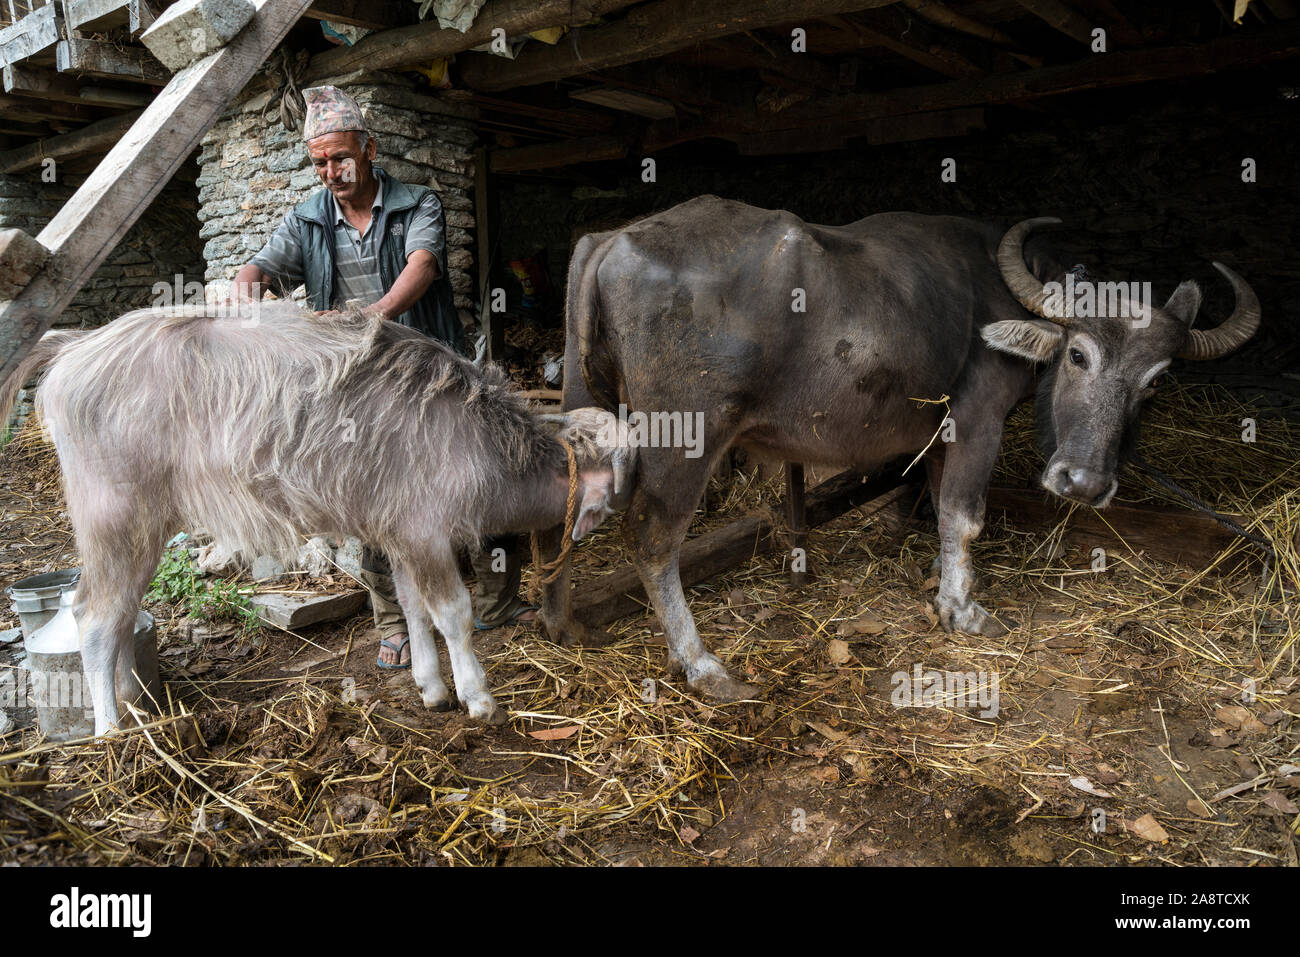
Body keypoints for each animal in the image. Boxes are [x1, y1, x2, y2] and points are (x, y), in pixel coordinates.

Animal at [0, 302, 636, 735]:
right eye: (613, 489)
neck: (479, 442)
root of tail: (78, 345)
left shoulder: (397, 535)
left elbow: (411, 607)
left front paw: (432, 688)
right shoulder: (425, 532)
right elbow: (452, 614)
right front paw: (478, 698)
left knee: (115, 615)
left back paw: (137, 712)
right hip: (116, 518)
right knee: (95, 617)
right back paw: (113, 732)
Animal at [534, 196, 1261, 702]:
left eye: (1155, 380)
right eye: (1079, 354)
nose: (1083, 483)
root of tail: (615, 238)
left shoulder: (937, 438)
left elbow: (940, 504)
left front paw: (944, 578)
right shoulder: (976, 419)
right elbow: (965, 513)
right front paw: (962, 609)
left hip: (584, 399)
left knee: (556, 516)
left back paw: (561, 624)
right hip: (686, 438)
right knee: (653, 538)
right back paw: (702, 663)